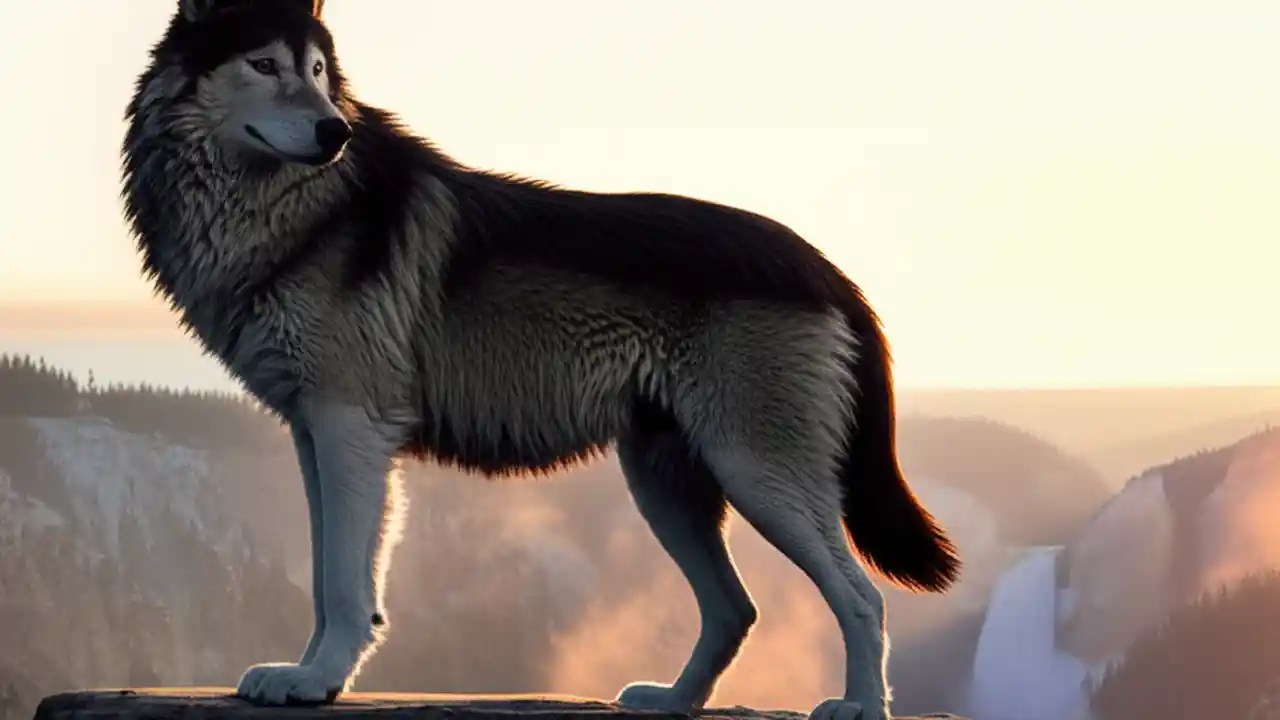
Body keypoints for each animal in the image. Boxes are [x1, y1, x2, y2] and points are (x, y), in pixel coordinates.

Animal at [121, 1, 959, 718]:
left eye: (321, 73)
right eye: (265, 65)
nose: (335, 134)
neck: (291, 211)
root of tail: (827, 268)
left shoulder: (349, 426)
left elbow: (343, 583)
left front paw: (316, 679)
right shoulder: (314, 434)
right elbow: (334, 575)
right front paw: (314, 675)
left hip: (756, 478)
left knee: (861, 597)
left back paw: (860, 706)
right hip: (668, 486)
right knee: (736, 609)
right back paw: (672, 701)